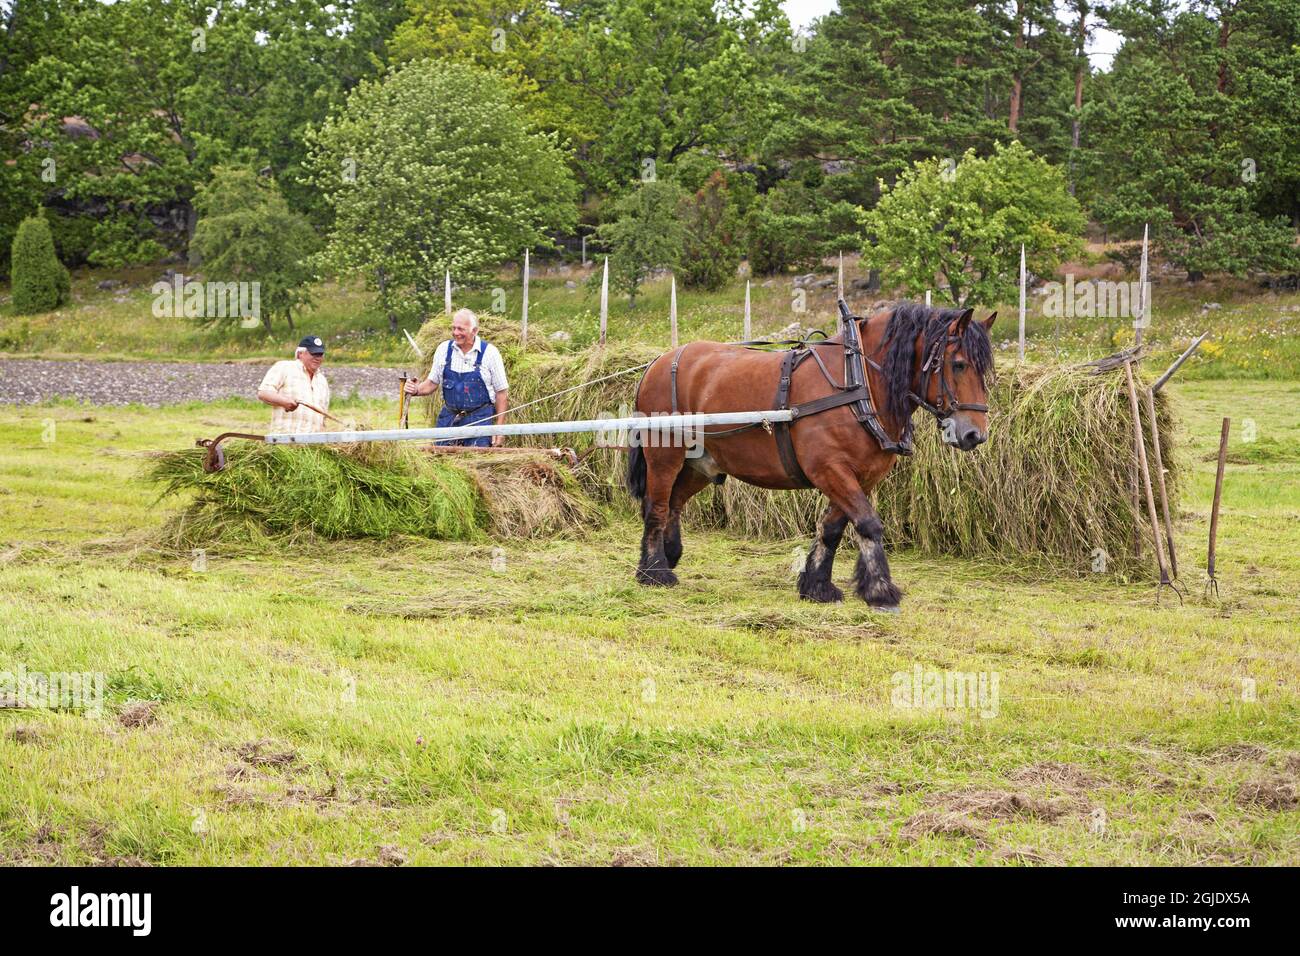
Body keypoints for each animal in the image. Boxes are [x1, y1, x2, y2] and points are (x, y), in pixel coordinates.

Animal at [625, 301, 996, 610]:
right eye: (958, 364)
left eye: (984, 372)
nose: (975, 434)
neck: (858, 382)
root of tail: (659, 362)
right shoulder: (829, 469)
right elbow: (869, 524)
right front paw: (880, 590)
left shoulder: (861, 476)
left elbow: (832, 529)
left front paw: (817, 585)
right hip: (664, 455)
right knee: (657, 506)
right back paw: (654, 571)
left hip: (700, 465)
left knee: (674, 503)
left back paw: (666, 556)